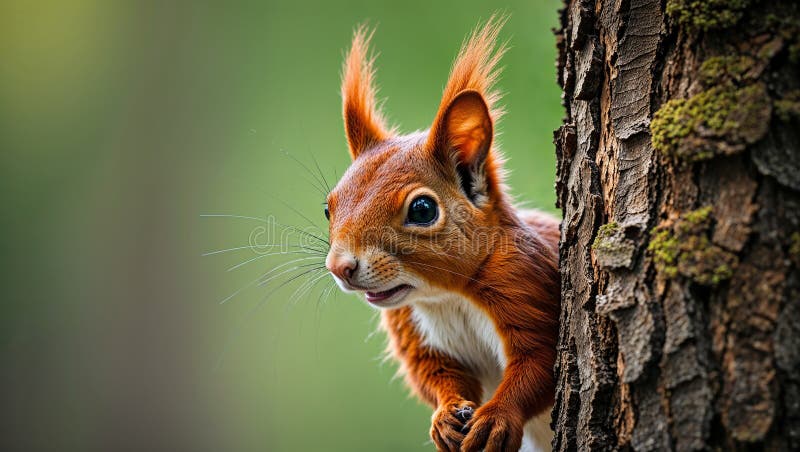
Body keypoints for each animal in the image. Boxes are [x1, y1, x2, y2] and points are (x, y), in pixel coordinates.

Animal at [324, 16, 560, 452]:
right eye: (327, 207)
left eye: (422, 210)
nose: (339, 267)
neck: (447, 297)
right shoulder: (416, 334)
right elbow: (436, 378)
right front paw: (445, 416)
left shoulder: (529, 288)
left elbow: (536, 367)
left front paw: (497, 418)